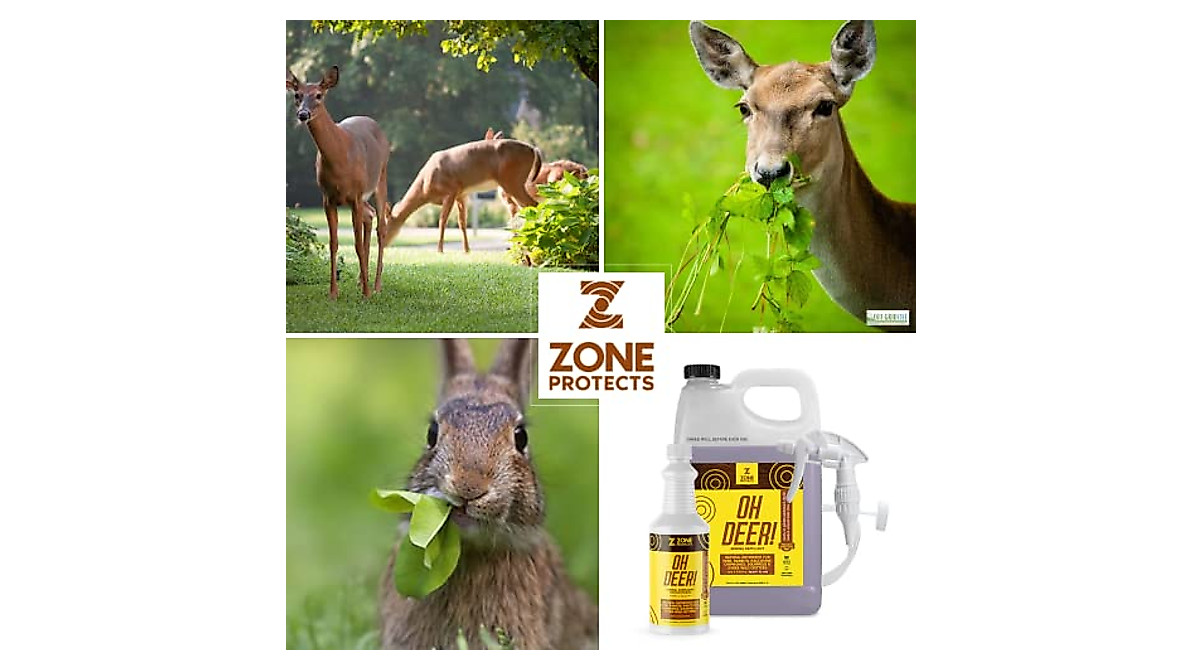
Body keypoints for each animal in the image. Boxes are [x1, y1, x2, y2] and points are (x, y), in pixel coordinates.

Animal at [287, 66, 390, 299]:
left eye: (319, 95)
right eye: (297, 95)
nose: (303, 114)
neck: (340, 158)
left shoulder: (355, 196)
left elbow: (357, 244)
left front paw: (366, 294)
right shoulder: (328, 198)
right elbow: (333, 243)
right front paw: (333, 292)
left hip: (380, 178)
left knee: (381, 227)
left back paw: (376, 286)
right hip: (362, 195)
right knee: (370, 216)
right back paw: (362, 280)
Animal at [385, 134, 543, 254]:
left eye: (384, 227)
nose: (384, 244)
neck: (425, 188)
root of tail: (533, 149)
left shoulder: (450, 191)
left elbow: (442, 221)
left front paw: (440, 250)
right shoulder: (462, 195)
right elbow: (462, 222)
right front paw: (467, 250)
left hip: (512, 181)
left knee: (533, 205)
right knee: (526, 208)